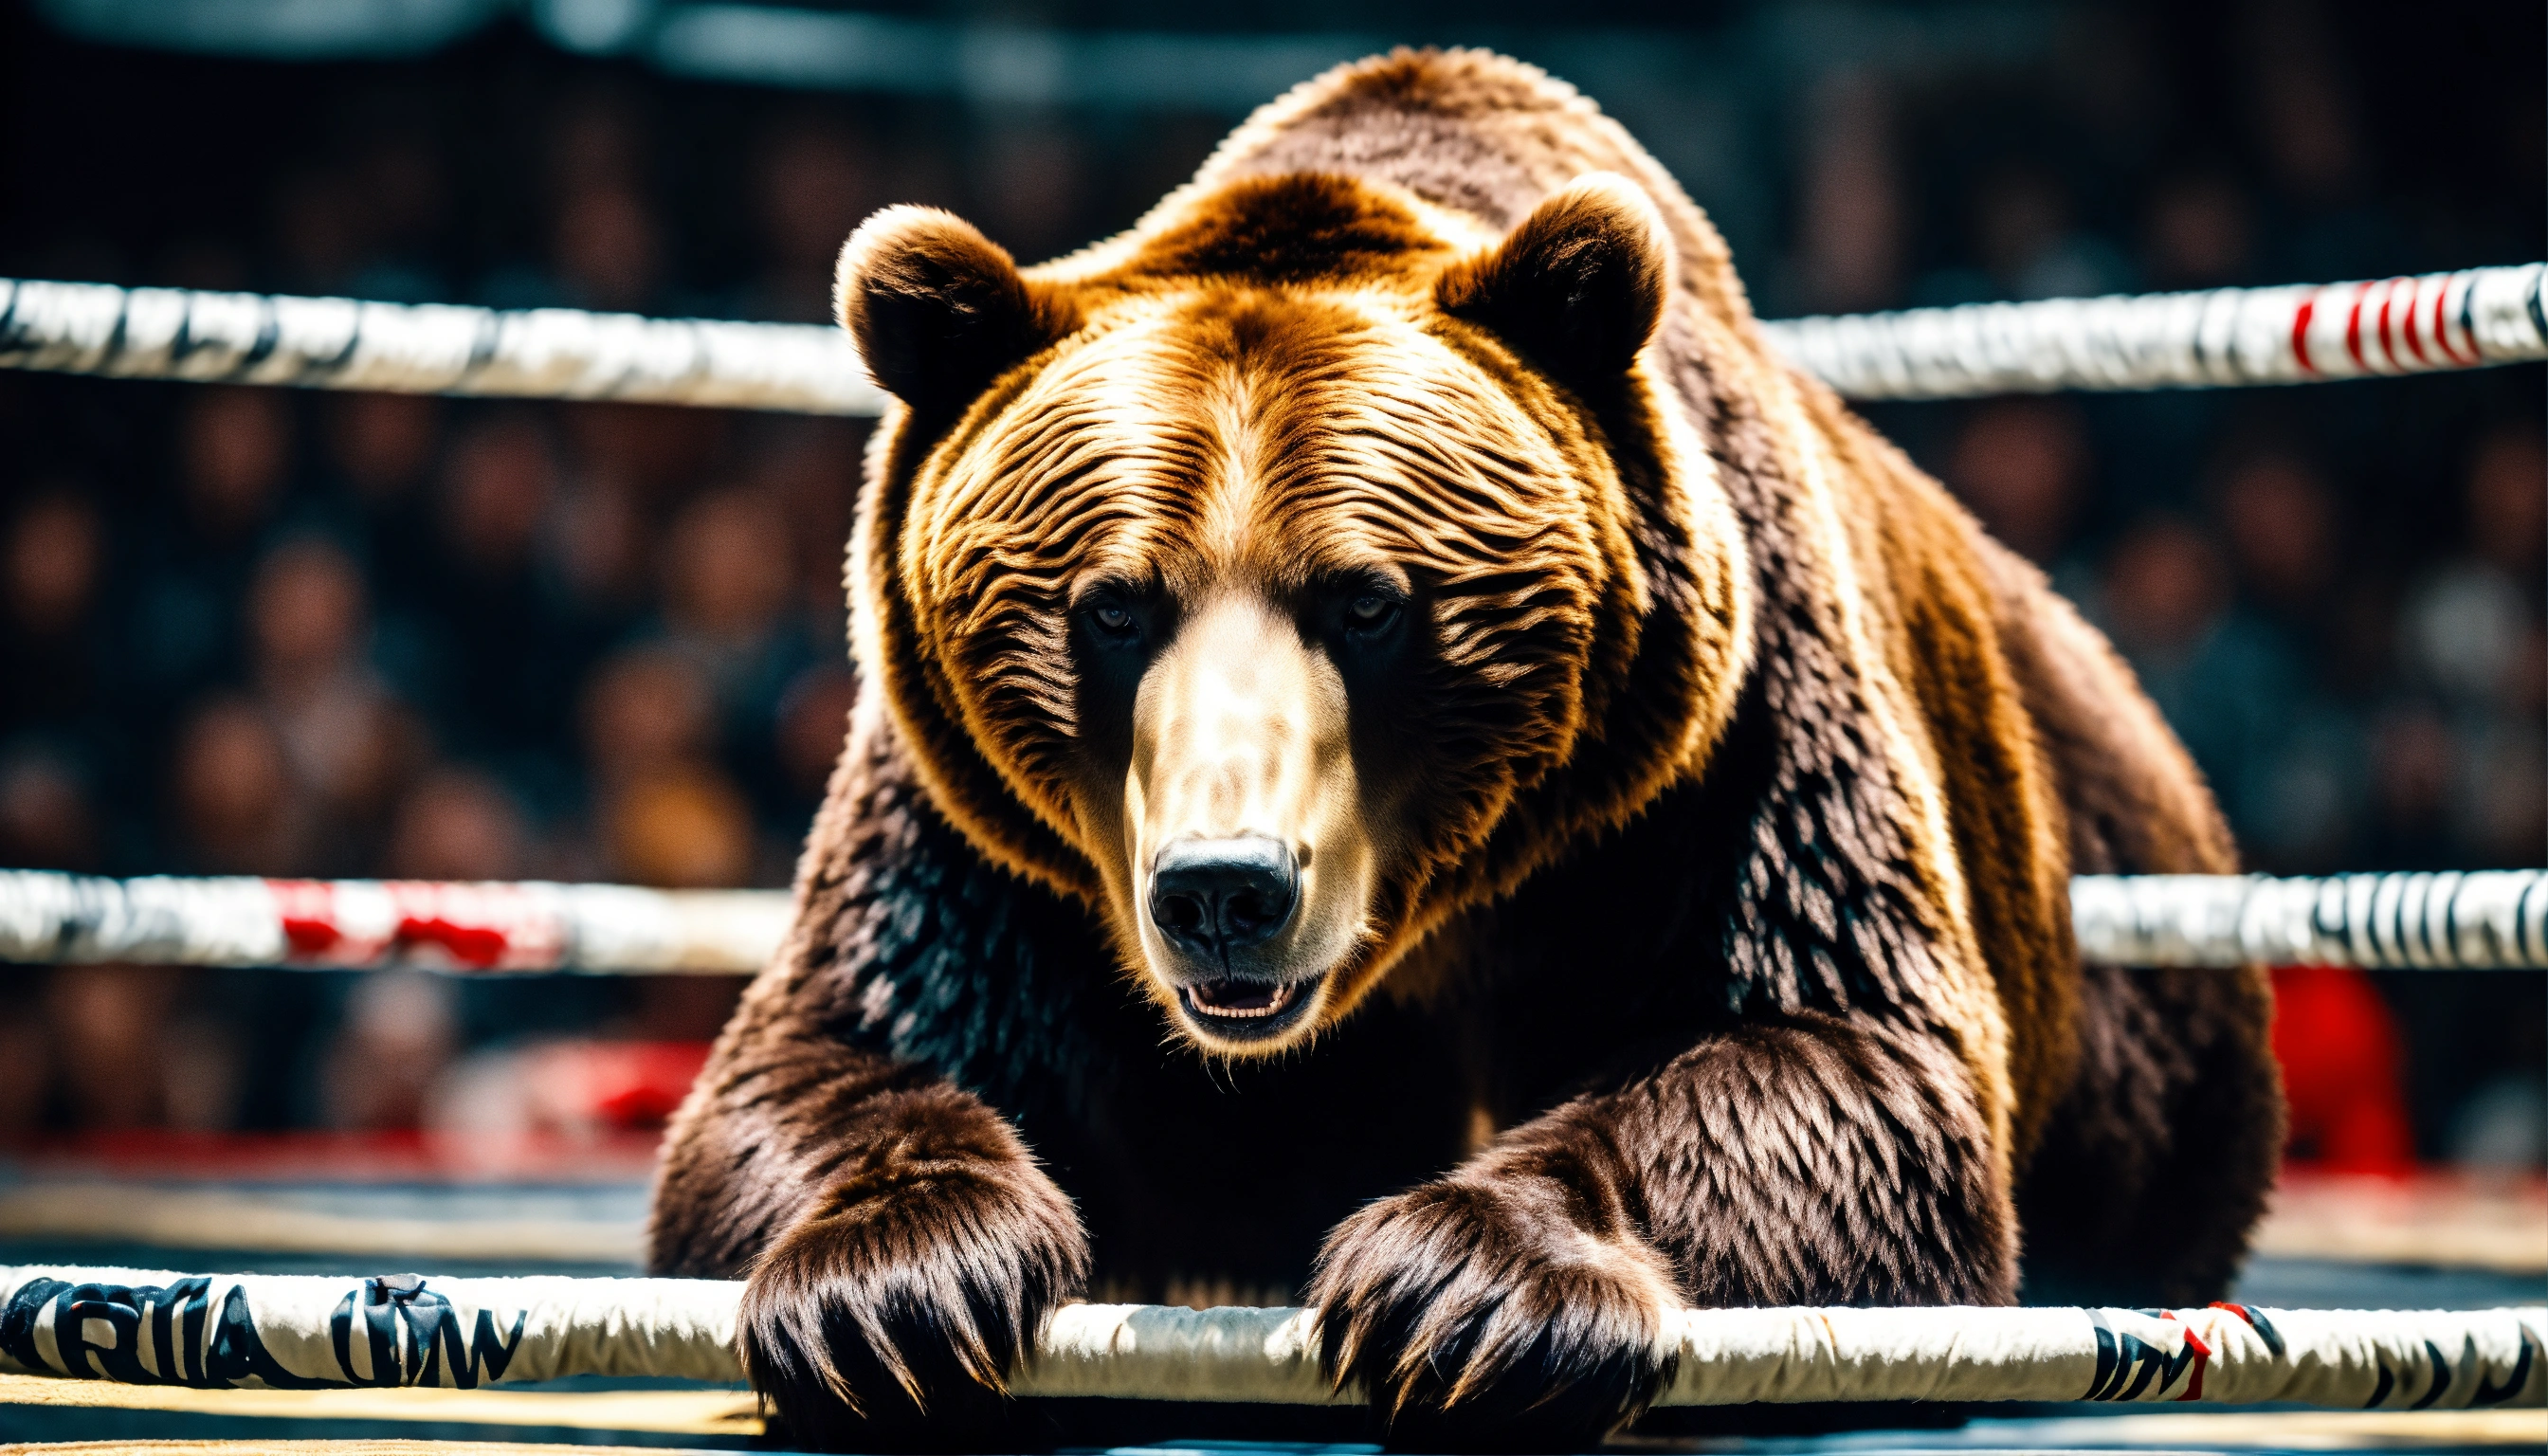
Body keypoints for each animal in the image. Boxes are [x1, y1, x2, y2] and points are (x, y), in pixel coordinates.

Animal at [648, 47, 2283, 1452]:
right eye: (1111, 605)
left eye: (1367, 600)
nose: (1225, 888)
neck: (1423, 929)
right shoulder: (986, 846)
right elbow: (819, 1061)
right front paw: (892, 1294)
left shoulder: (1722, 756)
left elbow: (1843, 1062)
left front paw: (1462, 1284)